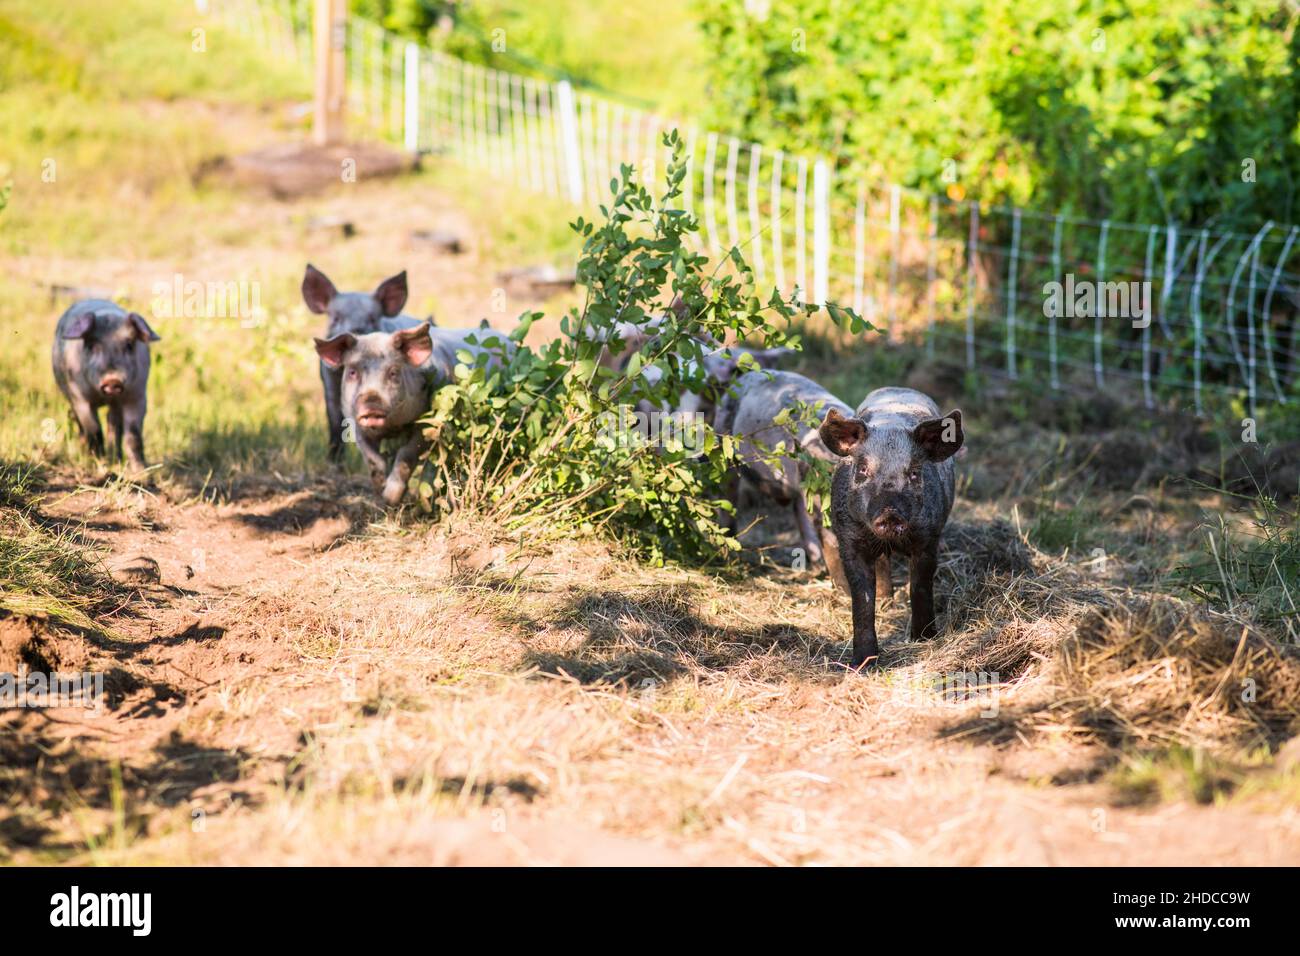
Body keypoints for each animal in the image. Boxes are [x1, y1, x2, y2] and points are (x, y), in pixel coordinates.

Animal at [51, 299, 161, 472]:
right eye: (92, 345)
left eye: (129, 344)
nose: (112, 380)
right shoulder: (80, 398)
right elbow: (94, 430)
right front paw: (100, 466)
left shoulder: (137, 396)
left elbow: (133, 434)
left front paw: (141, 472)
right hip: (69, 395)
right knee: (82, 424)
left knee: (113, 424)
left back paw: (116, 459)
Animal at [301, 264, 429, 462]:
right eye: (336, 318)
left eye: (372, 318)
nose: (357, 330)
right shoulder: (328, 381)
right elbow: (335, 421)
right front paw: (333, 462)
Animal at [314, 320, 510, 505]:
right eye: (353, 372)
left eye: (393, 372)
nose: (372, 404)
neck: (392, 427)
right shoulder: (355, 424)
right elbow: (374, 460)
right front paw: (379, 495)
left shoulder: (428, 423)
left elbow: (406, 454)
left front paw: (391, 498)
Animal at [819, 387, 964, 669]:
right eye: (863, 470)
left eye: (914, 473)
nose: (890, 513)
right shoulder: (848, 540)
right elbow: (862, 598)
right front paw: (862, 663)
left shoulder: (928, 538)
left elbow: (920, 585)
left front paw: (923, 639)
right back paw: (886, 600)